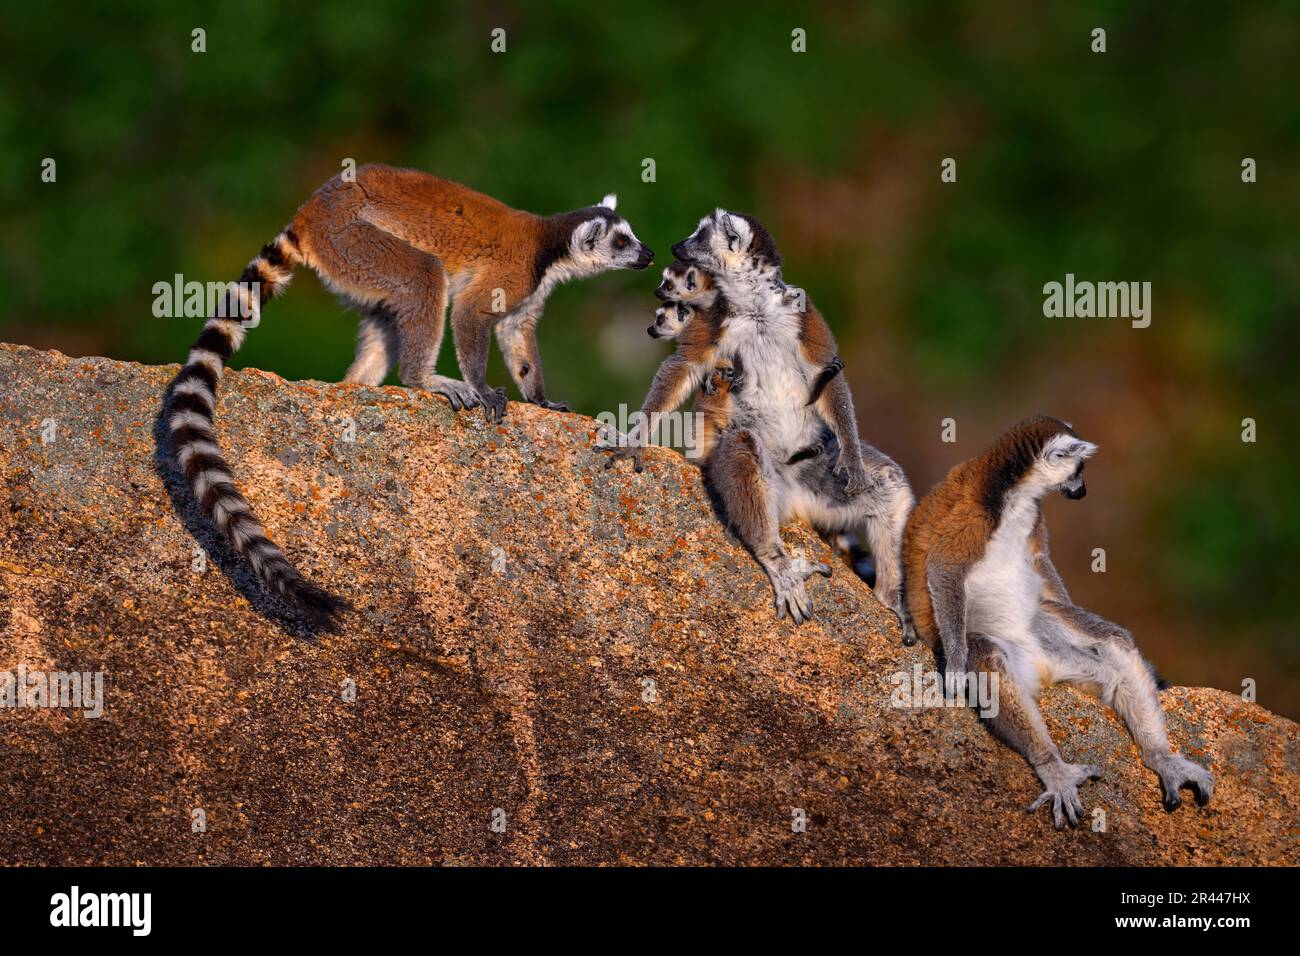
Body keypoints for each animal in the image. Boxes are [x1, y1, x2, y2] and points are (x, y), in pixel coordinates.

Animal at [166, 164, 653, 629]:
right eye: (623, 240)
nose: (648, 254)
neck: (550, 249)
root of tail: (312, 210)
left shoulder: (530, 295)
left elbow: (516, 336)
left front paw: (541, 401)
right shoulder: (513, 275)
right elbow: (471, 312)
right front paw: (482, 388)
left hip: (352, 265)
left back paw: (356, 387)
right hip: (352, 238)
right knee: (424, 275)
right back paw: (423, 379)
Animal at [606, 210, 914, 632]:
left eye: (699, 234)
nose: (675, 245)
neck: (754, 306)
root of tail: (795, 503)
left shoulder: (803, 313)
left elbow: (826, 373)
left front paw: (851, 457)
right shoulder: (713, 321)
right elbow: (685, 366)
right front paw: (636, 439)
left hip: (817, 470)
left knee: (888, 482)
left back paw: (887, 597)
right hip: (767, 484)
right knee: (743, 449)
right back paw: (778, 561)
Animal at [902, 415, 1214, 828]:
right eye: (1078, 469)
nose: (1082, 491)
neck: (1015, 491)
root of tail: (1042, 669)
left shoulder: (1033, 520)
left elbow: (1039, 561)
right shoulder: (972, 512)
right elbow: (944, 567)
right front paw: (953, 665)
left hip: (1048, 637)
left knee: (1114, 644)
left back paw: (1161, 758)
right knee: (986, 656)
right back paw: (1054, 767)